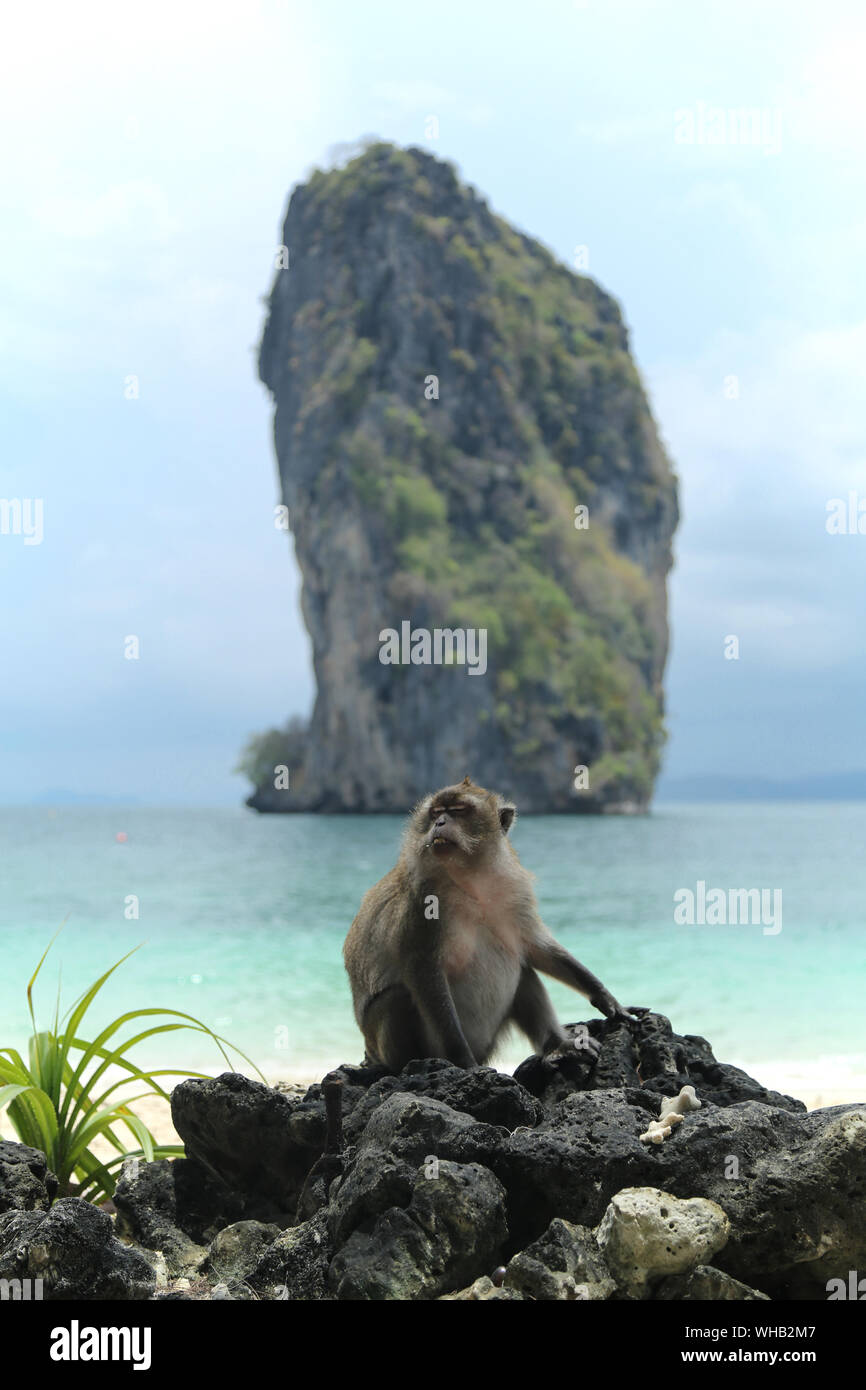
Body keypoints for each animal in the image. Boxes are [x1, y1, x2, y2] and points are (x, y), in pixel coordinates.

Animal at [343, 776, 646, 1072]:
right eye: (436, 813)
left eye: (458, 811)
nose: (440, 824)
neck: (471, 878)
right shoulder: (421, 903)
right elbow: (423, 968)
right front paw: (463, 1061)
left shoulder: (515, 893)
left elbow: (535, 947)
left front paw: (605, 997)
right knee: (397, 998)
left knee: (523, 968)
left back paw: (557, 1046)